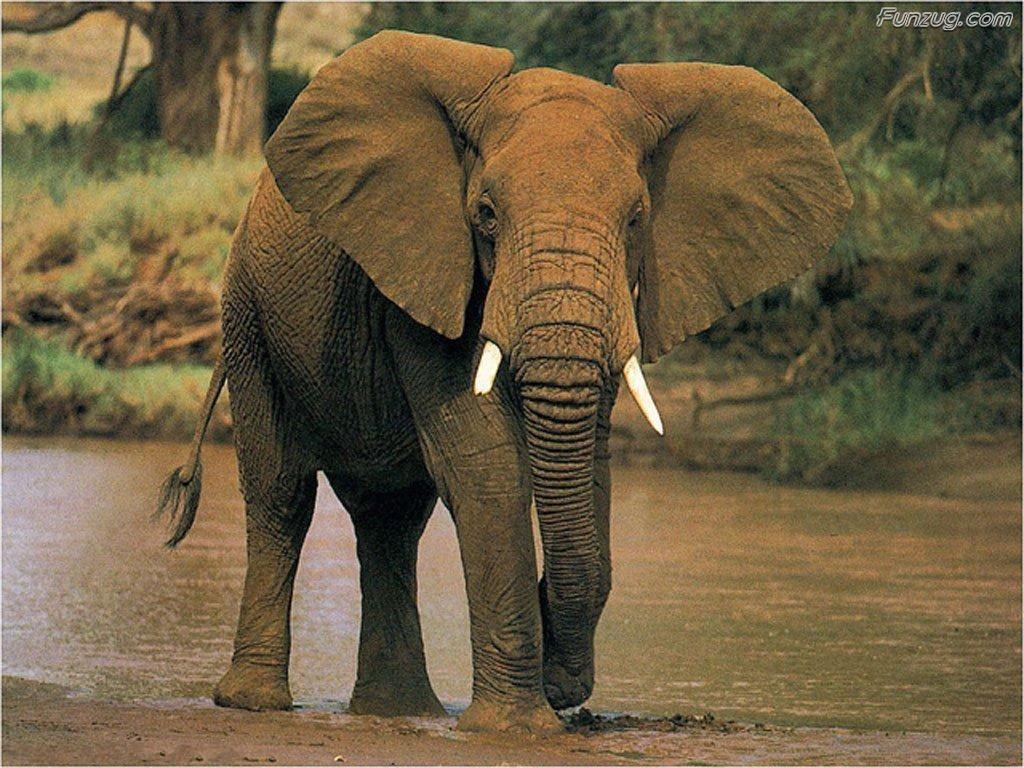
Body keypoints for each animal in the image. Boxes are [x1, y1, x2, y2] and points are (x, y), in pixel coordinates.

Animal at [156, 30, 851, 733]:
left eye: (636, 218)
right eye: (486, 215)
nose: (564, 684)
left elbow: (587, 462)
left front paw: (549, 684)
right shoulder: (429, 268)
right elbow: (486, 463)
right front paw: (516, 727)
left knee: (390, 520)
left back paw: (399, 712)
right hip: (248, 317)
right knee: (282, 494)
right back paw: (257, 702)